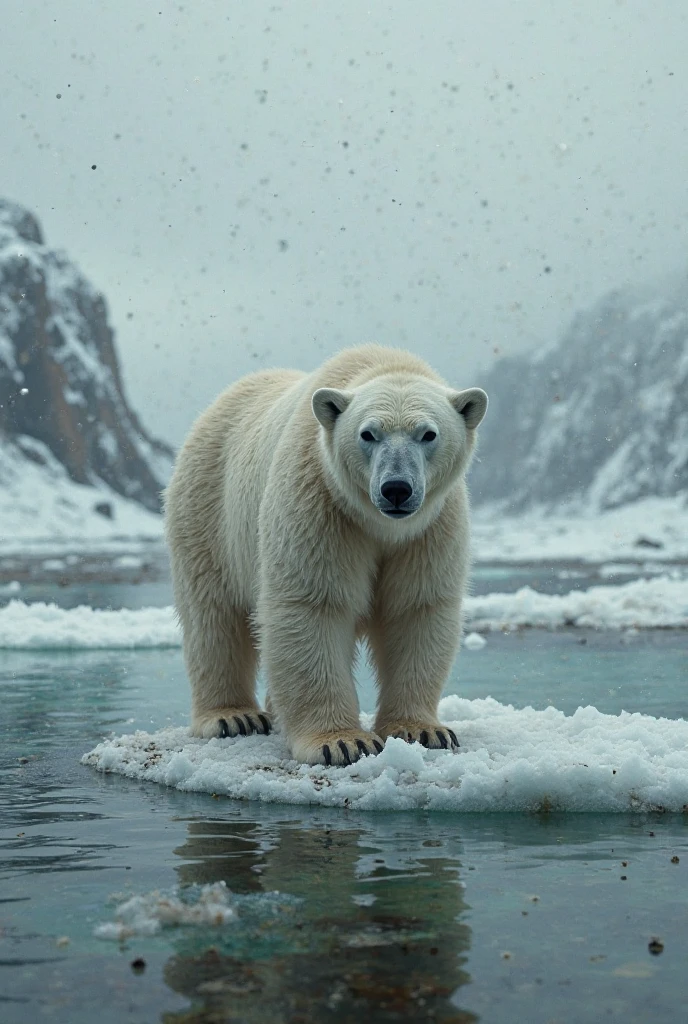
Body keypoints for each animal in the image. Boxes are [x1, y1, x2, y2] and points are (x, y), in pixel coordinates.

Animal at [164, 345, 488, 766]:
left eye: (428, 433)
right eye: (368, 433)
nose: (396, 489)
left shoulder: (430, 528)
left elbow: (416, 609)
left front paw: (423, 730)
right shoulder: (320, 502)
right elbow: (313, 606)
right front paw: (343, 742)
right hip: (209, 512)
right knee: (214, 617)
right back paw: (233, 716)